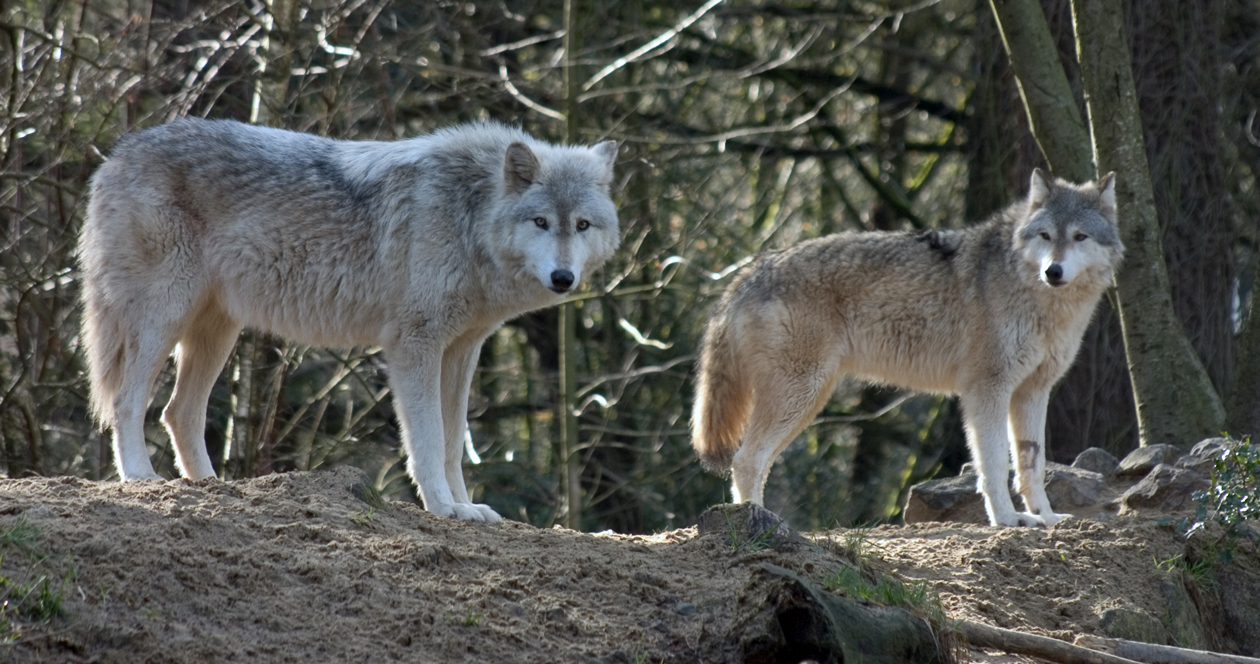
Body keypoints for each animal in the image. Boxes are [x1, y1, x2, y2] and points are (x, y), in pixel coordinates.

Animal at [80, 117, 619, 523]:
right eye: (541, 222)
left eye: (582, 225)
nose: (564, 277)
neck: (471, 215)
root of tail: (116, 153)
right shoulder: (413, 347)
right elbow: (428, 439)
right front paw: (443, 507)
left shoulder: (463, 351)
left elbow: (452, 442)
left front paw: (466, 507)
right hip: (163, 319)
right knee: (127, 401)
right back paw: (141, 478)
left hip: (217, 334)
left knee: (178, 412)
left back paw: (212, 486)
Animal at [691, 170, 1121, 527]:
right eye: (1046, 236)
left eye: (1079, 237)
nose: (1053, 271)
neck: (1041, 300)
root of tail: (749, 272)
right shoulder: (987, 390)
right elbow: (996, 464)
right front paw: (1007, 520)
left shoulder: (1032, 392)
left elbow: (1033, 463)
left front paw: (1044, 517)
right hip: (799, 396)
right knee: (745, 460)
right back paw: (759, 521)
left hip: (806, 403)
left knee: (756, 461)